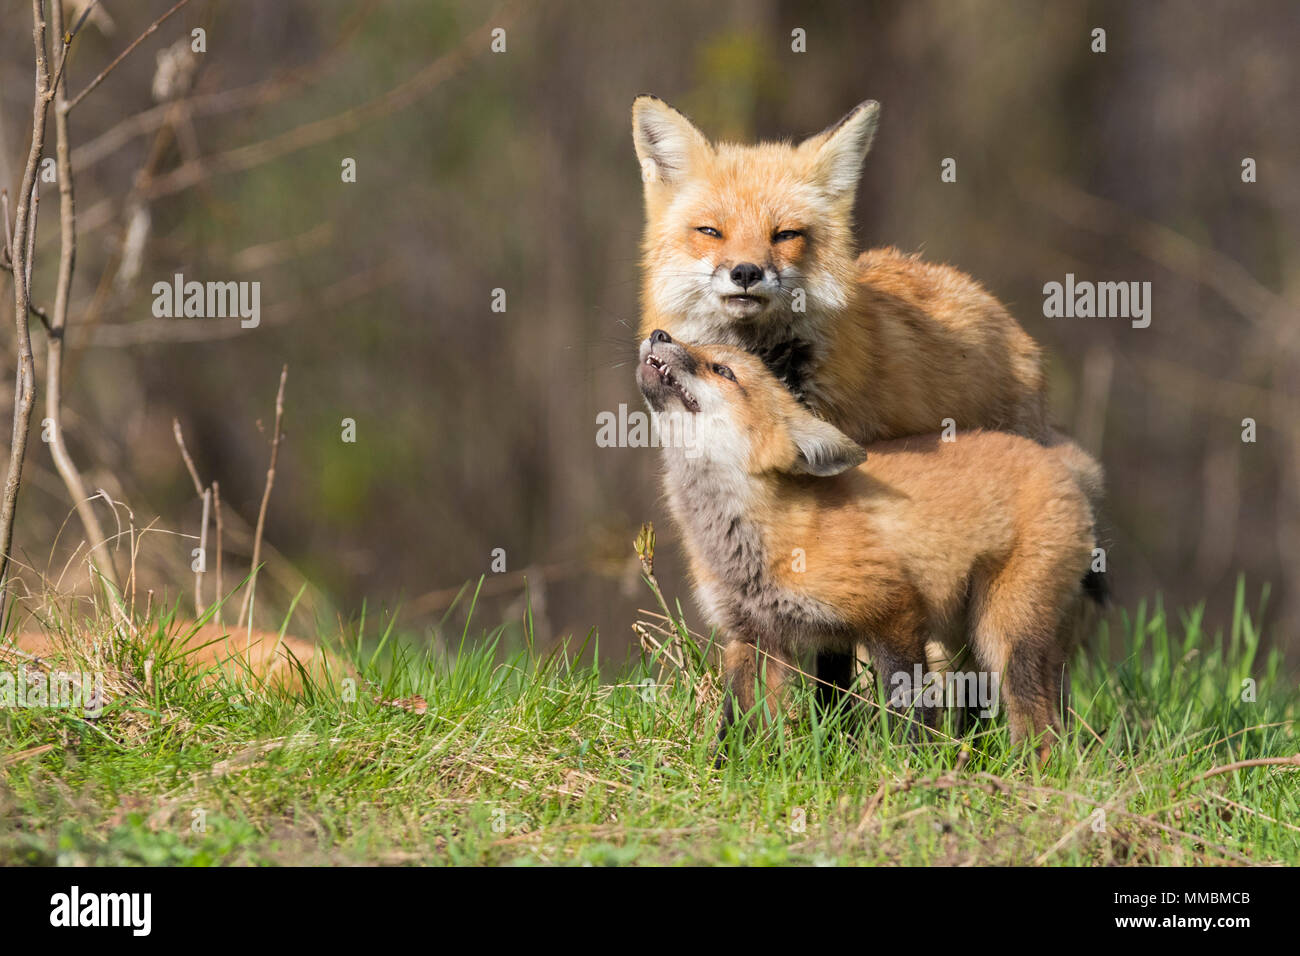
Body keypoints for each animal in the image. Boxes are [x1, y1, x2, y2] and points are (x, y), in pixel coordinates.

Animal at [636, 330, 1099, 760]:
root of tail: (1053, 458)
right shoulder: (753, 638)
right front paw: (724, 769)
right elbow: (736, 725)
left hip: (1004, 635)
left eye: (723, 370)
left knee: (1040, 723)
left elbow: (911, 710)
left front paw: (911, 767)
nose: (659, 334)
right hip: (966, 636)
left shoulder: (893, 612)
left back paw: (1033, 773)